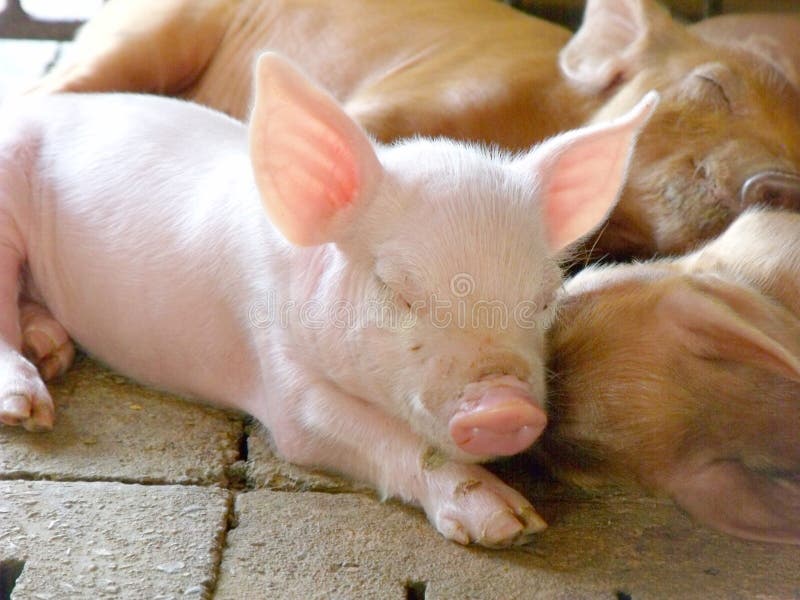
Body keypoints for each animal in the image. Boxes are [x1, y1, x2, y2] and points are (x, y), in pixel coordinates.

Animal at [0, 53, 657, 546]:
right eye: (397, 290)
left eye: (544, 298)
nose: (504, 406)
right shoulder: (282, 380)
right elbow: (369, 435)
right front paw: (507, 525)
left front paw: (526, 522)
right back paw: (29, 410)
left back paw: (53, 349)